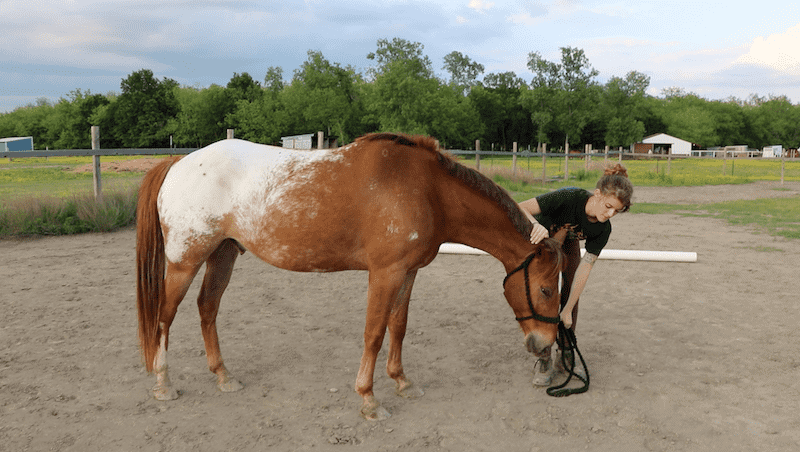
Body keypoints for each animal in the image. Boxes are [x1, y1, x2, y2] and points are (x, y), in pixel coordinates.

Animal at [136, 132, 566, 420]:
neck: (429, 191)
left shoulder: (408, 273)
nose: (544, 344)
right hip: (185, 261)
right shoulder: (385, 273)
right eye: (546, 288)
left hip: (223, 253)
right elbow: (374, 333)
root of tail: (177, 164)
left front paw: (402, 382)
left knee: (207, 308)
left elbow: (398, 327)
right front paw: (369, 399)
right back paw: (163, 384)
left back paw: (224, 376)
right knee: (165, 317)